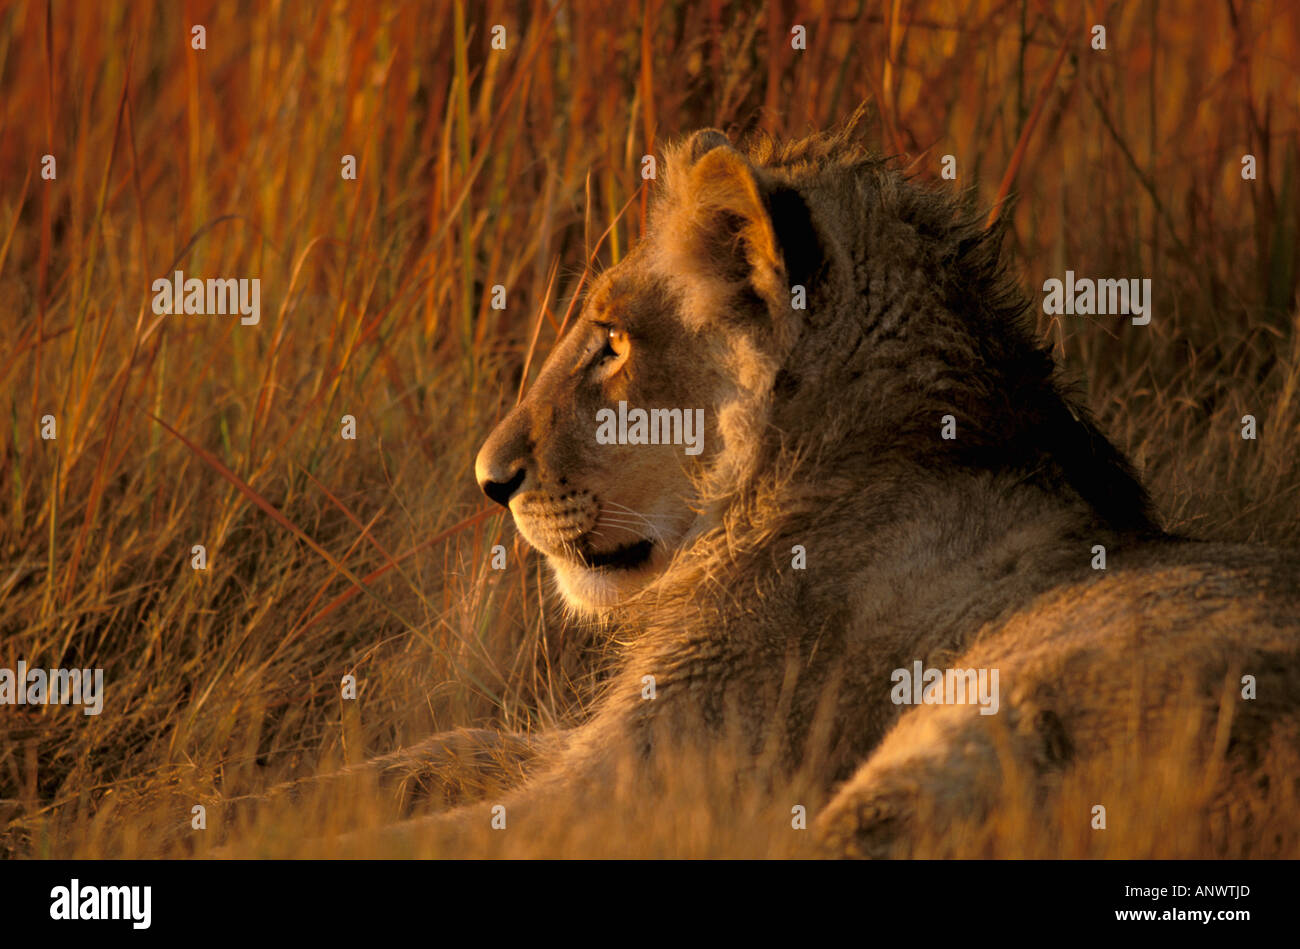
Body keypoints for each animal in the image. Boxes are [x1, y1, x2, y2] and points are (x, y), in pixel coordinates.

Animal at [245, 121, 1300, 857]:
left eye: (613, 341)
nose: (488, 481)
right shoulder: (595, 738)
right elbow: (437, 751)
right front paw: (232, 796)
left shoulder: (647, 779)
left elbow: (424, 831)